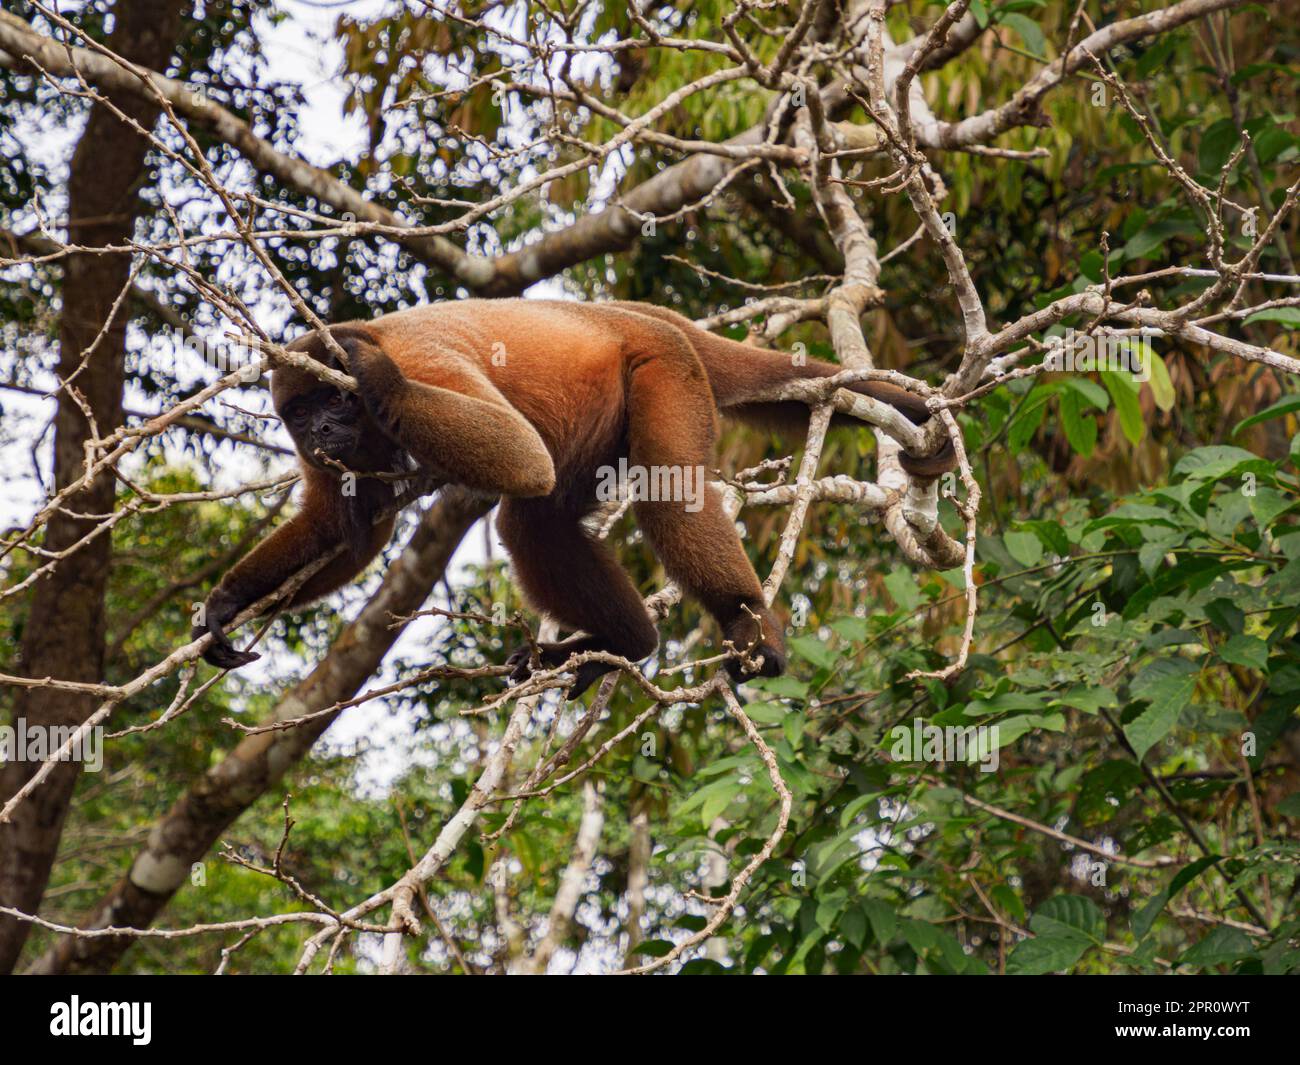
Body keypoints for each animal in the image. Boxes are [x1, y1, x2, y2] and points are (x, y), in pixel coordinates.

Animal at [193, 299, 955, 695]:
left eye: (334, 401)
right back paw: (623, 642)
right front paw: (225, 602)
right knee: (536, 521)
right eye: (299, 414)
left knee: (662, 492)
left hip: (662, 370)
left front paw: (382, 379)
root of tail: (636, 316)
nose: (321, 429)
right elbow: (346, 529)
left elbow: (518, 453)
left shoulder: (420, 359)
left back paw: (744, 621)